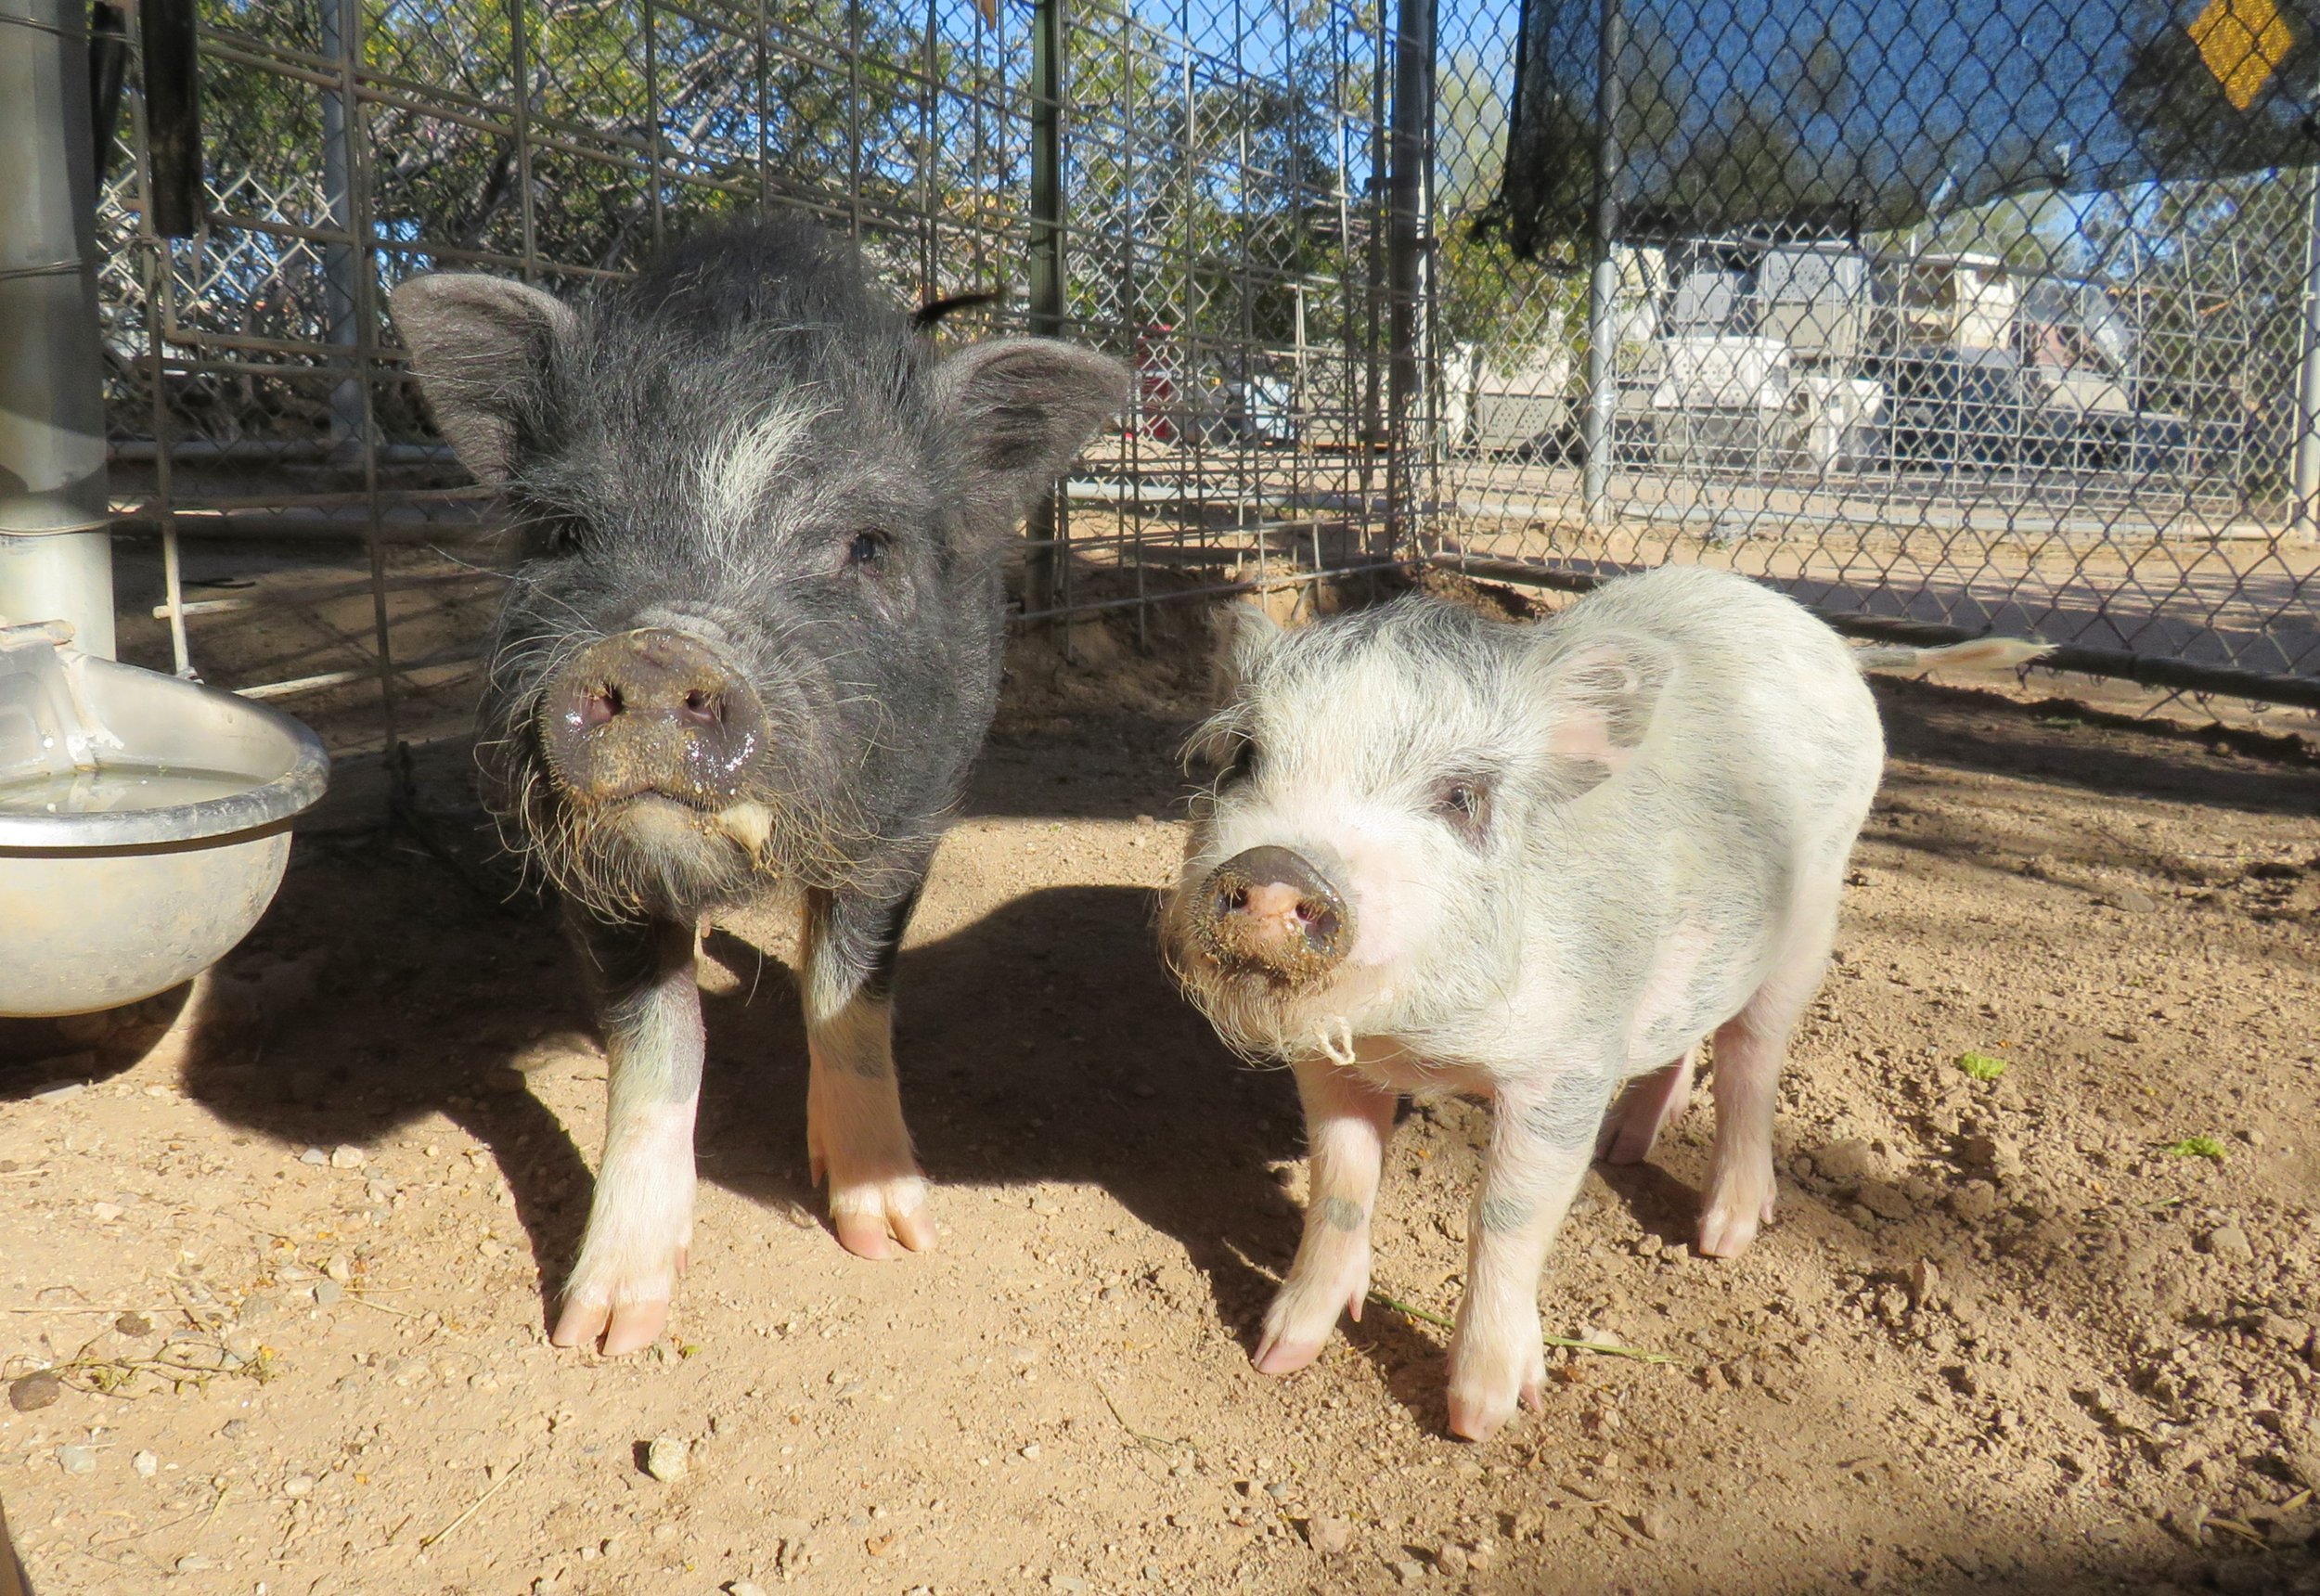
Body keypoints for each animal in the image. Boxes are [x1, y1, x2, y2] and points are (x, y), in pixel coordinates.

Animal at [390, 220, 1127, 1353]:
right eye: (565, 532)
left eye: (867, 545)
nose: (656, 654)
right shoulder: (589, 861)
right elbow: (657, 1040)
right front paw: (603, 1329)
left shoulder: (906, 822)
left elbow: (847, 994)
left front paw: (890, 1236)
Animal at [1161, 565, 2046, 1439]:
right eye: (1245, 757)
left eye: (1461, 797)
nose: (1277, 866)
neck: (1421, 1037)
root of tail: (1827, 639)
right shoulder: (1328, 1055)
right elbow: (1340, 1185)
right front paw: (1278, 1354)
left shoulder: (1569, 1064)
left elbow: (1509, 1211)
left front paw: (1481, 1417)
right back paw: (1626, 1148)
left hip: (1811, 917)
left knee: (1752, 1057)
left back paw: (1724, 1236)